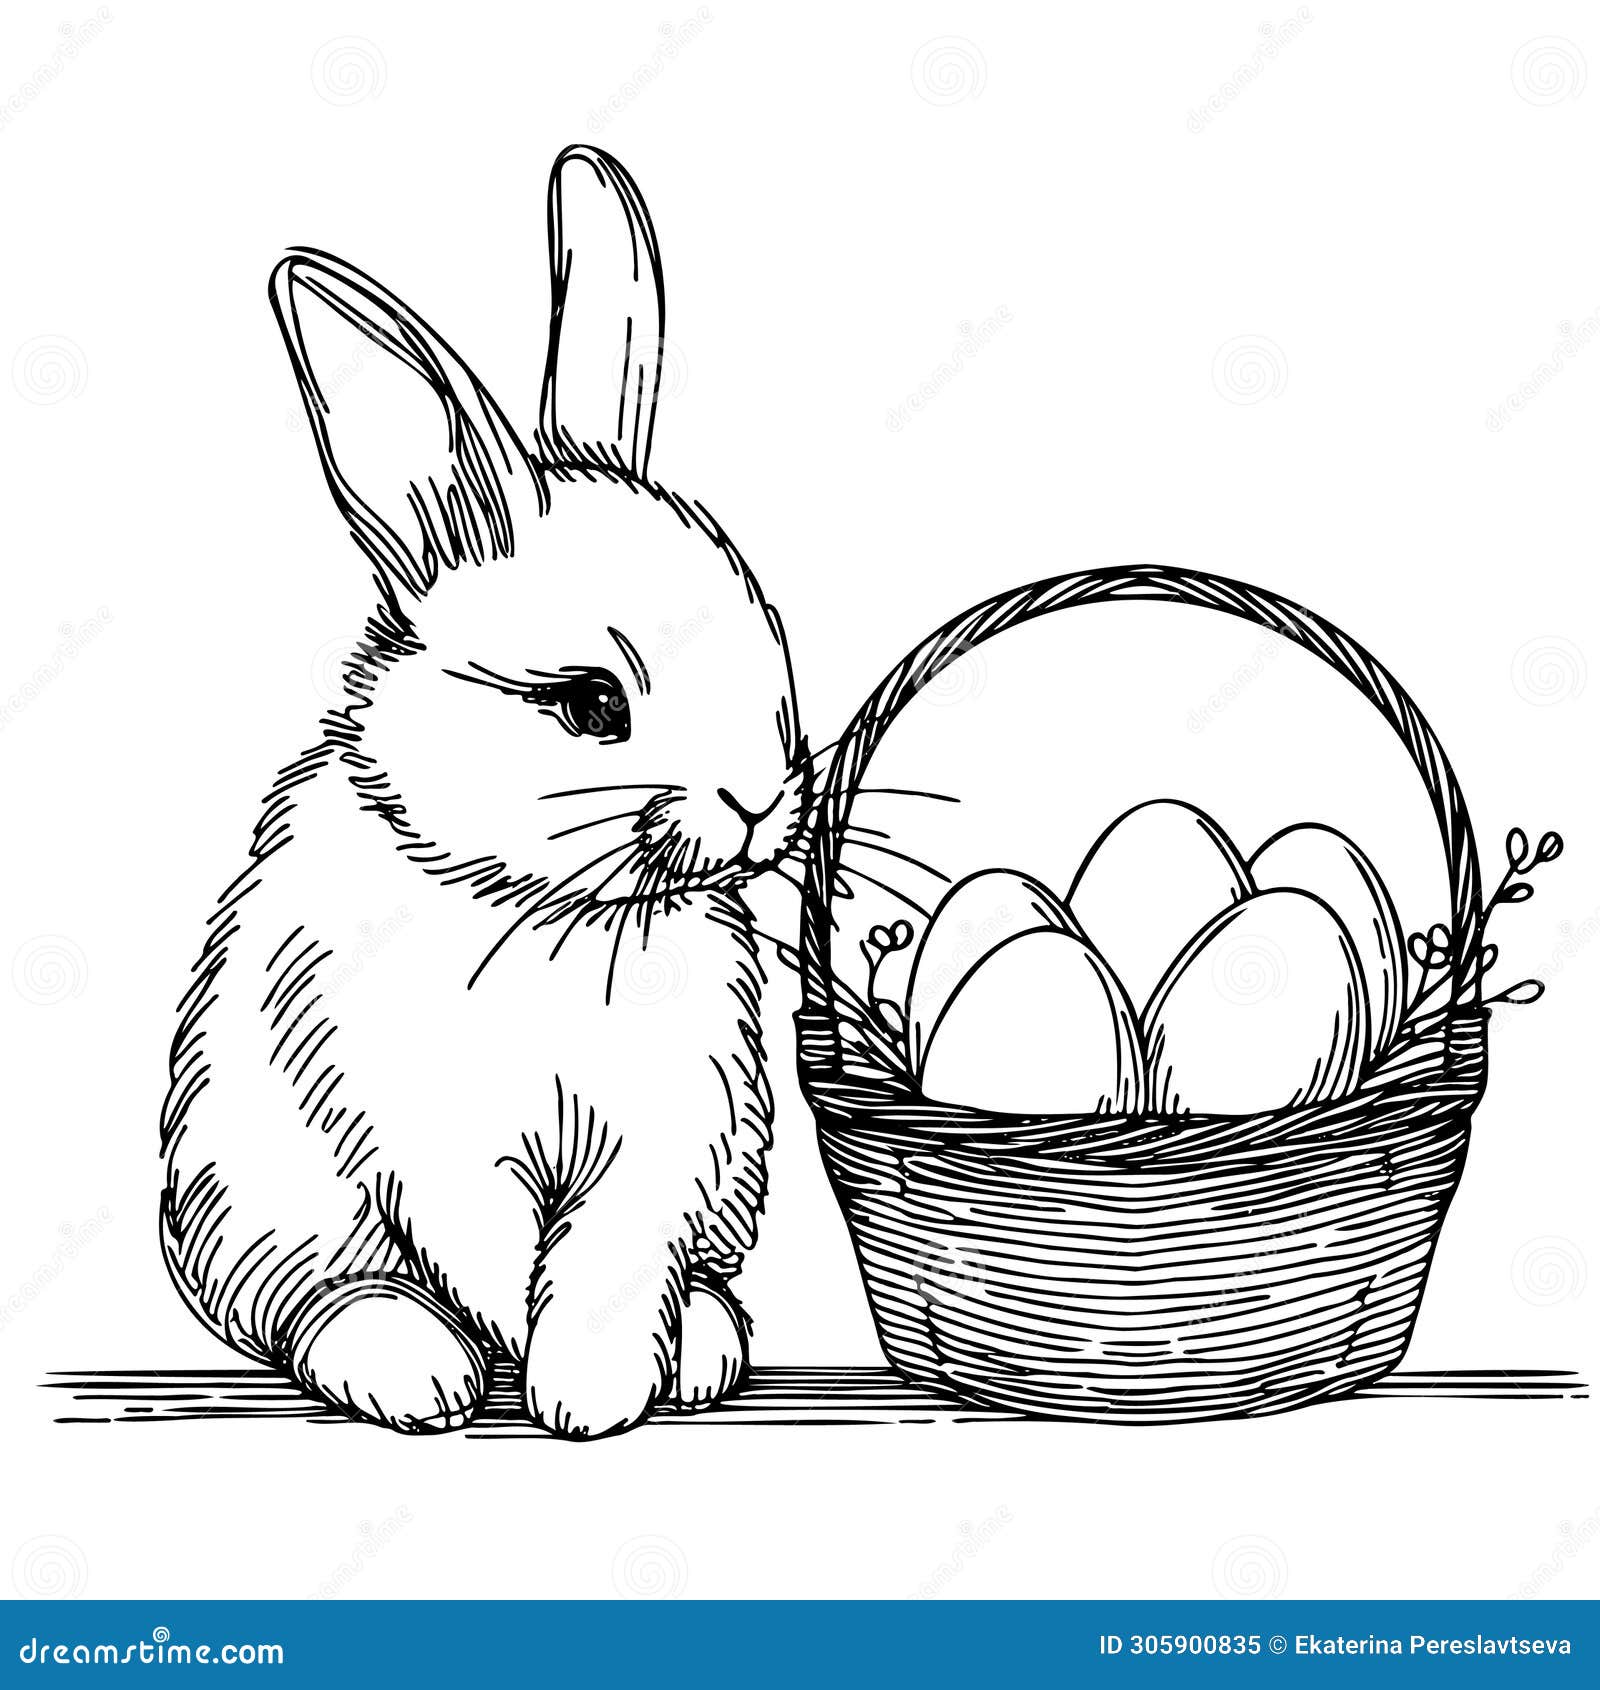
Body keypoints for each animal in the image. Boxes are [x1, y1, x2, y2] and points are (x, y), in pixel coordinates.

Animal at [158, 146, 811, 1439]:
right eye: (592, 703)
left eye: (761, 633)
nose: (761, 801)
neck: (553, 906)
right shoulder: (425, 1129)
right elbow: (494, 1249)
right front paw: (542, 1375)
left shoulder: (665, 1141)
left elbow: (612, 1260)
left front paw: (591, 1391)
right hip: (251, 1193)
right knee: (306, 1304)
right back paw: (414, 1368)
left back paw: (703, 1346)